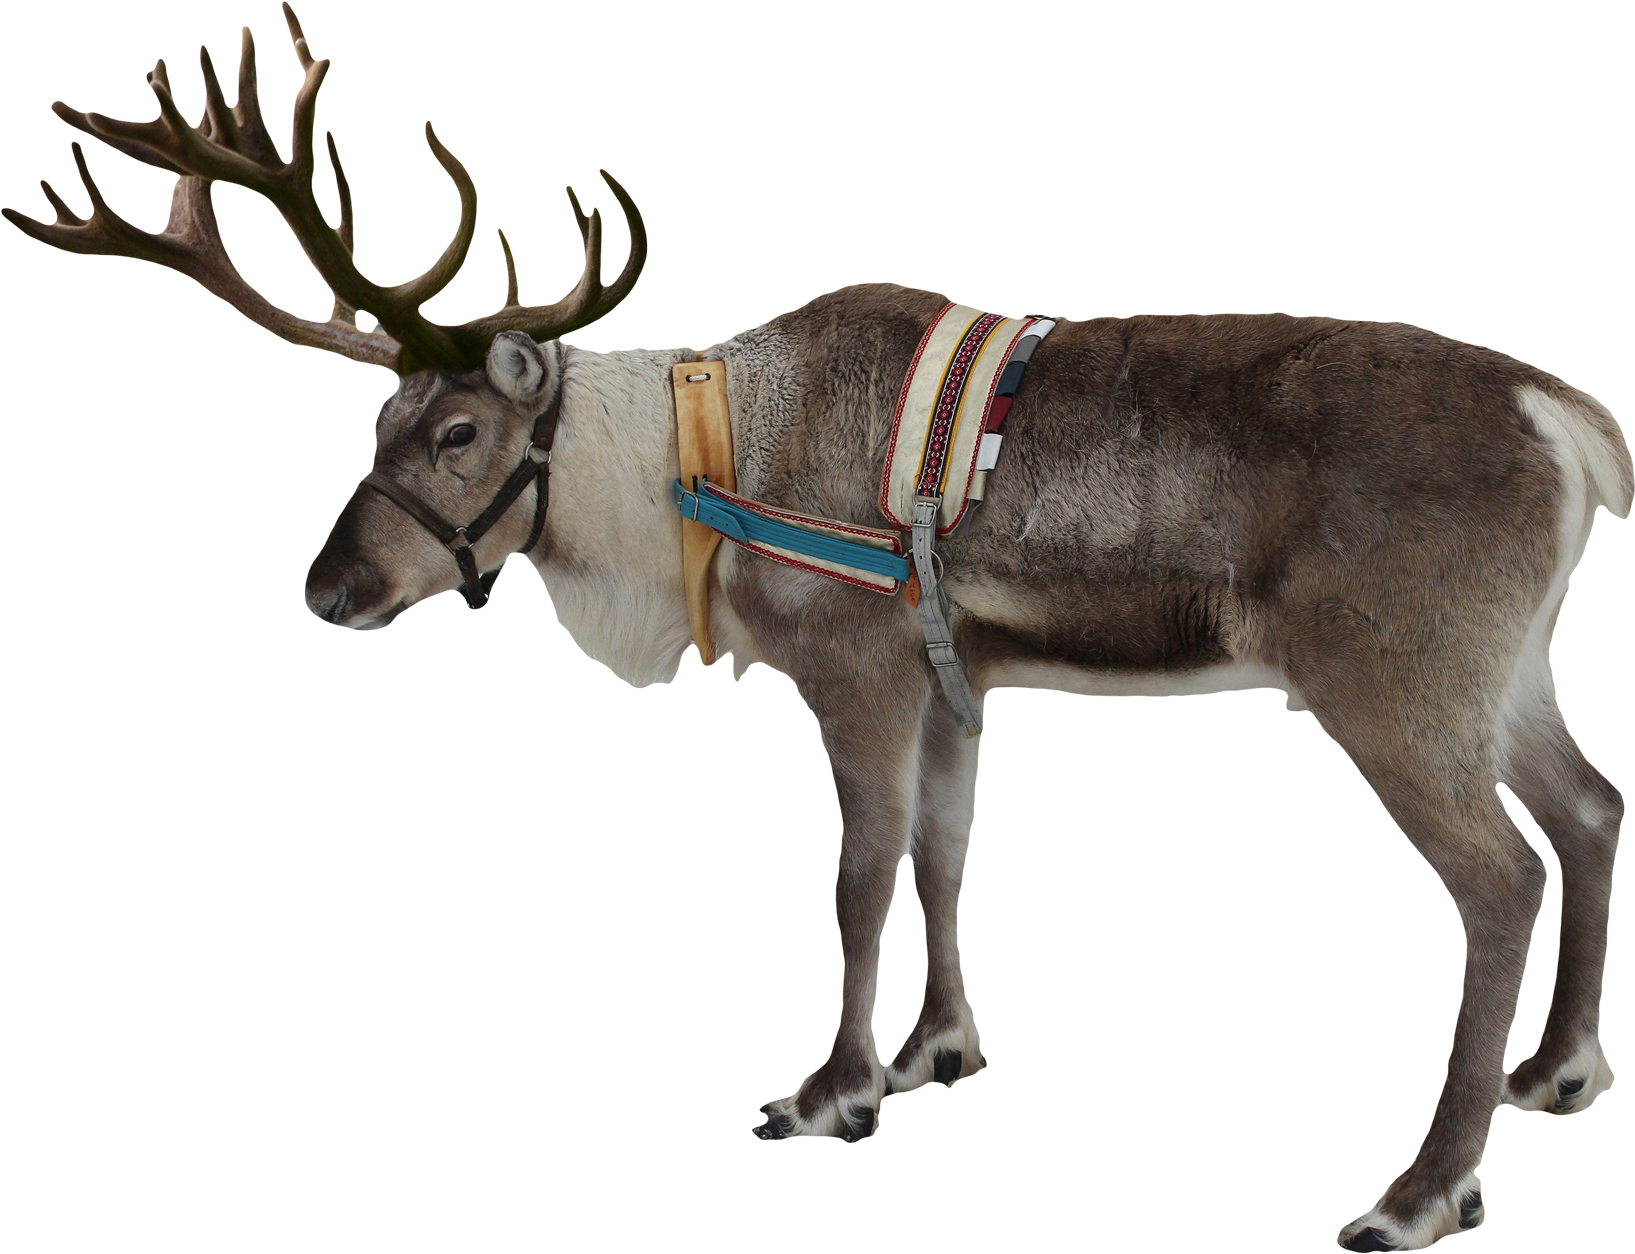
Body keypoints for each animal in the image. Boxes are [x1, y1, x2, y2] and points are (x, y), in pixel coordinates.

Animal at [7, 7, 1626, 1249]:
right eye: (375, 426)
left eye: (458, 431)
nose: (324, 592)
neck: (684, 475)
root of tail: (1575, 426)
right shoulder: (960, 674)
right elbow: (946, 847)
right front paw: (936, 1049)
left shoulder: (851, 666)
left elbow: (854, 873)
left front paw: (827, 1090)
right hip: (1509, 668)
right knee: (1593, 807)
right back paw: (1559, 1072)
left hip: (1395, 678)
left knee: (1497, 877)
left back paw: (1420, 1192)